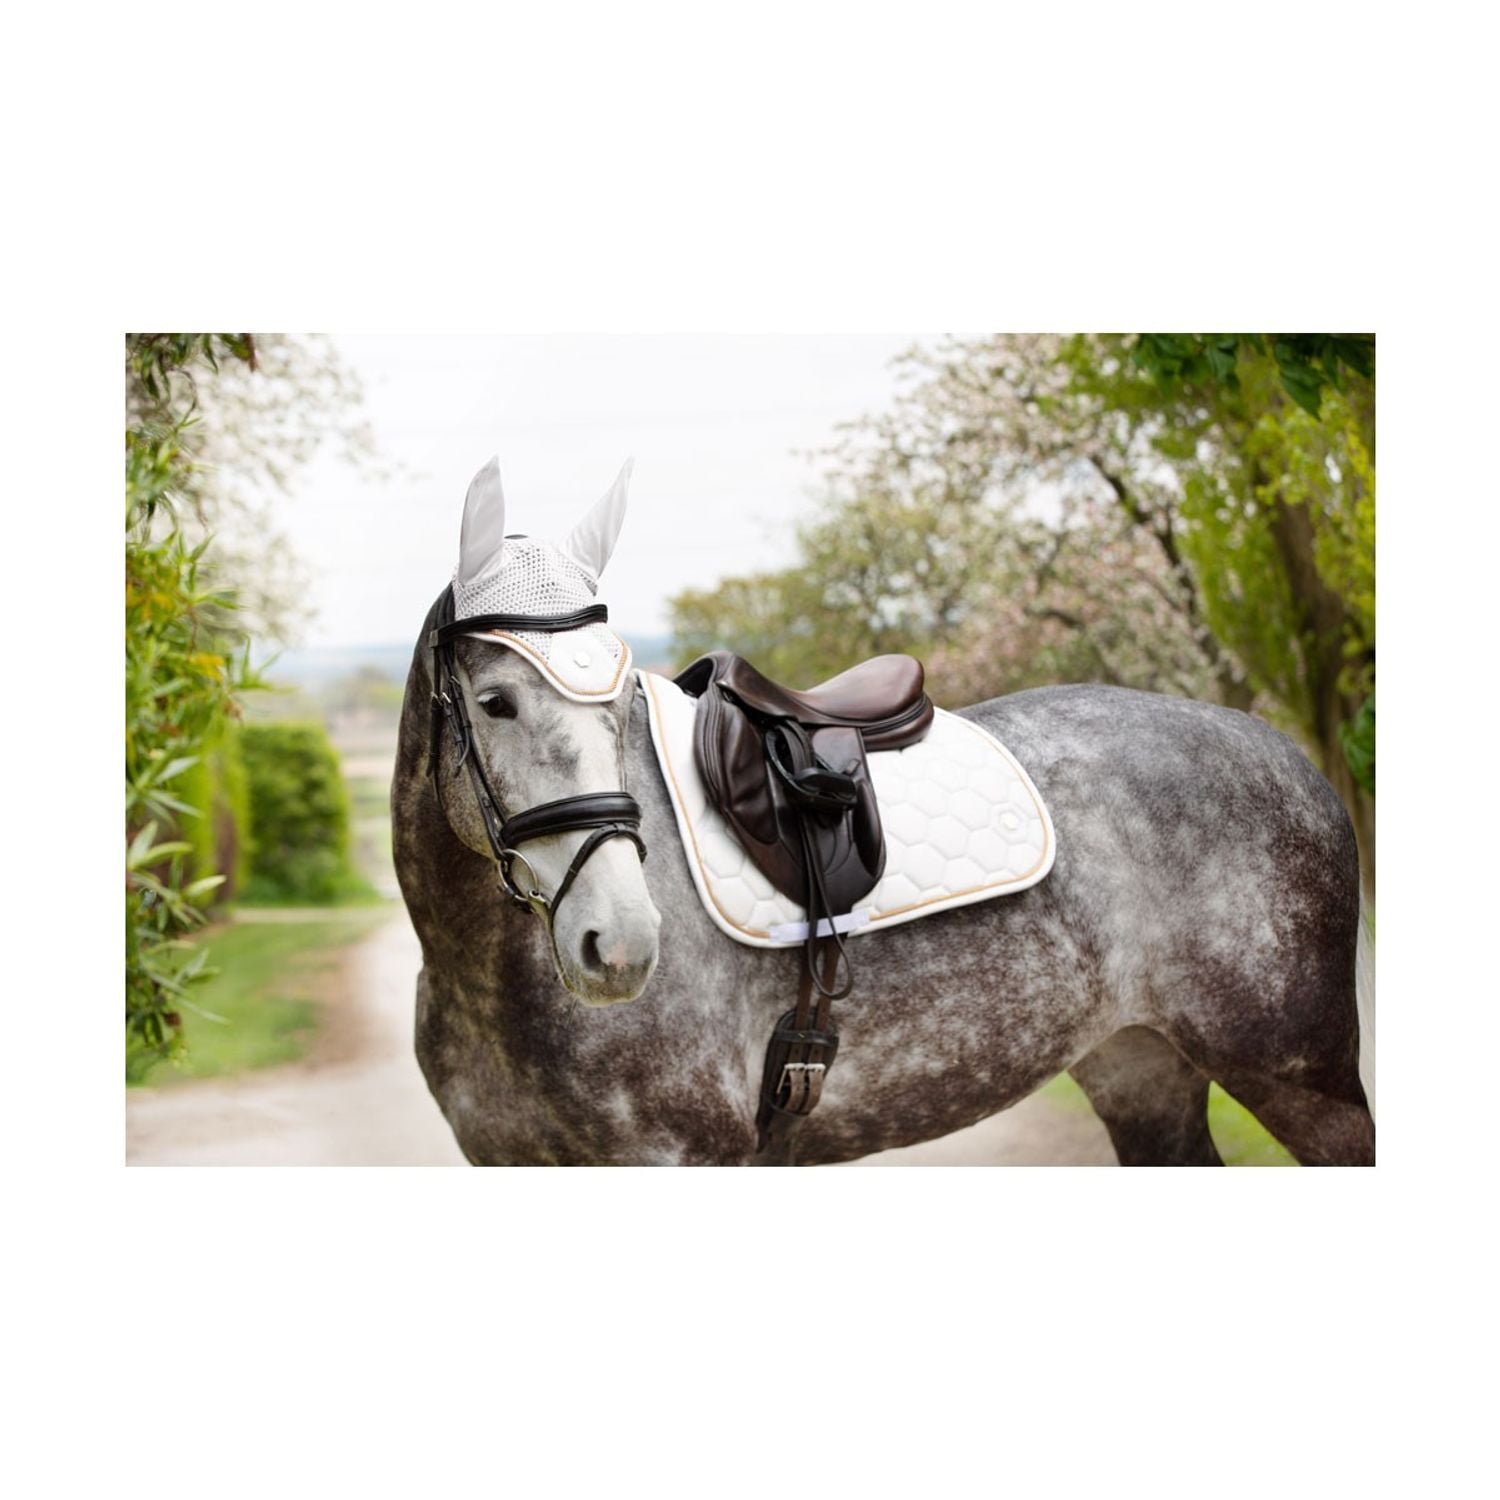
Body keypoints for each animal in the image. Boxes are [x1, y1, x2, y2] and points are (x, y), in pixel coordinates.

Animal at [392, 459, 1374, 1166]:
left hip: (1302, 1075)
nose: (622, 945)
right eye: (495, 702)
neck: (487, 977)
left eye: (620, 703)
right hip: (1140, 1066)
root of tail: (1281, 750)